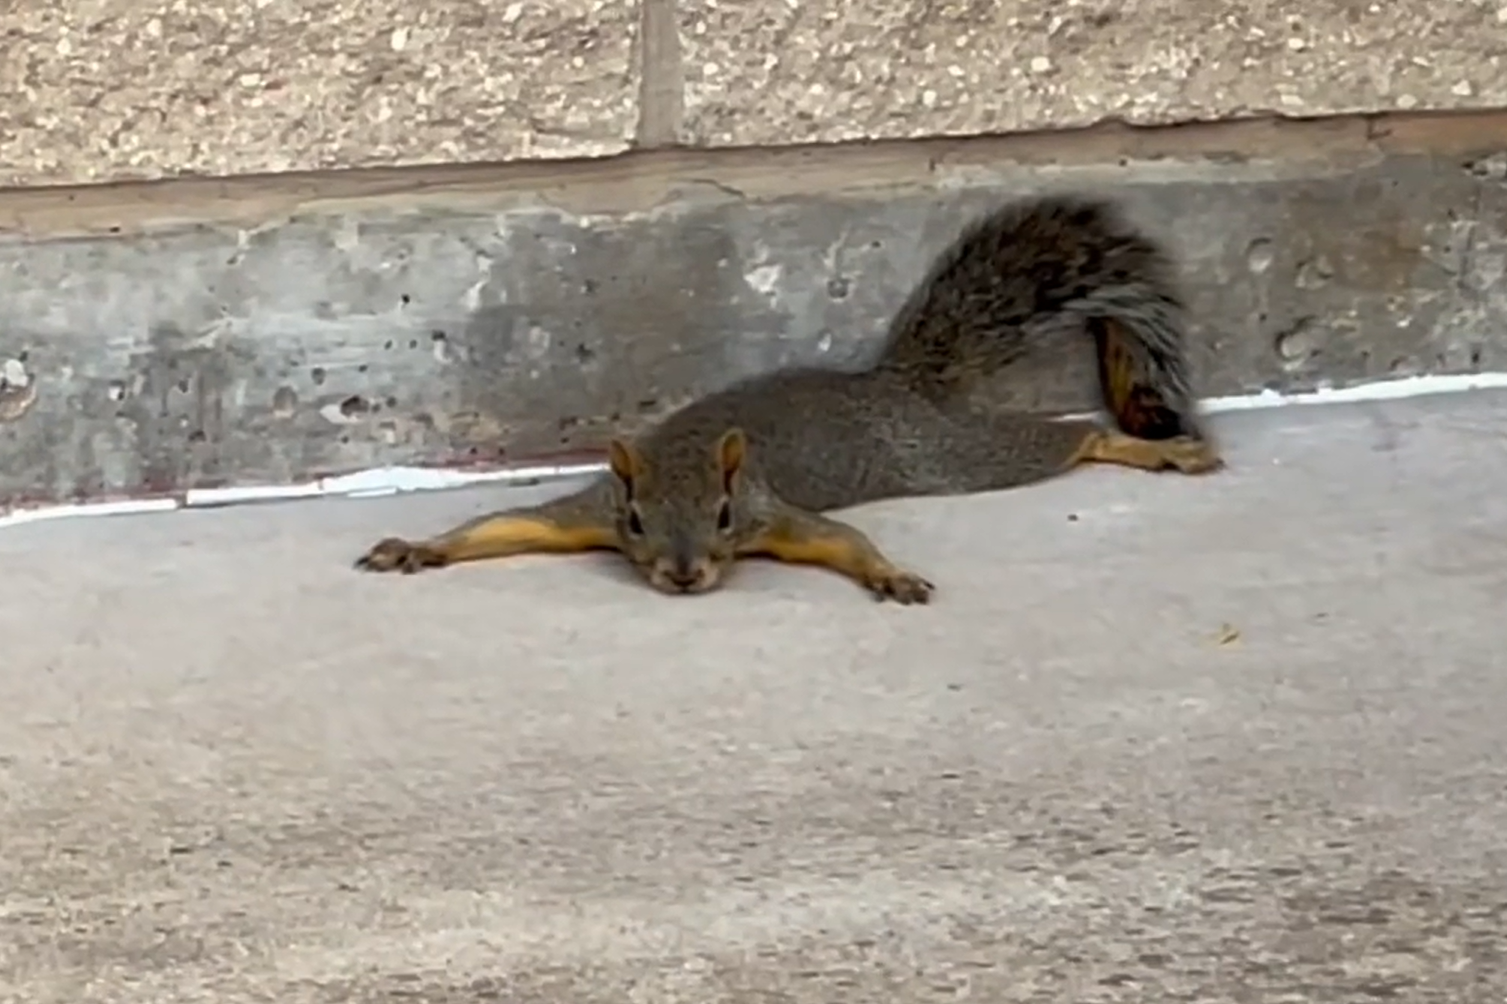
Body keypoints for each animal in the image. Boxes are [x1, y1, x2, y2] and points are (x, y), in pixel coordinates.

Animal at [356, 194, 1223, 604]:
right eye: (635, 520)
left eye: (724, 516)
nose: (683, 577)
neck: (683, 453)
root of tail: (892, 381)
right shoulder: (586, 513)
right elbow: (504, 524)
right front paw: (420, 547)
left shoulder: (775, 514)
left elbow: (842, 541)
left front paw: (890, 576)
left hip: (948, 454)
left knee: (1065, 438)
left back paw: (1154, 448)